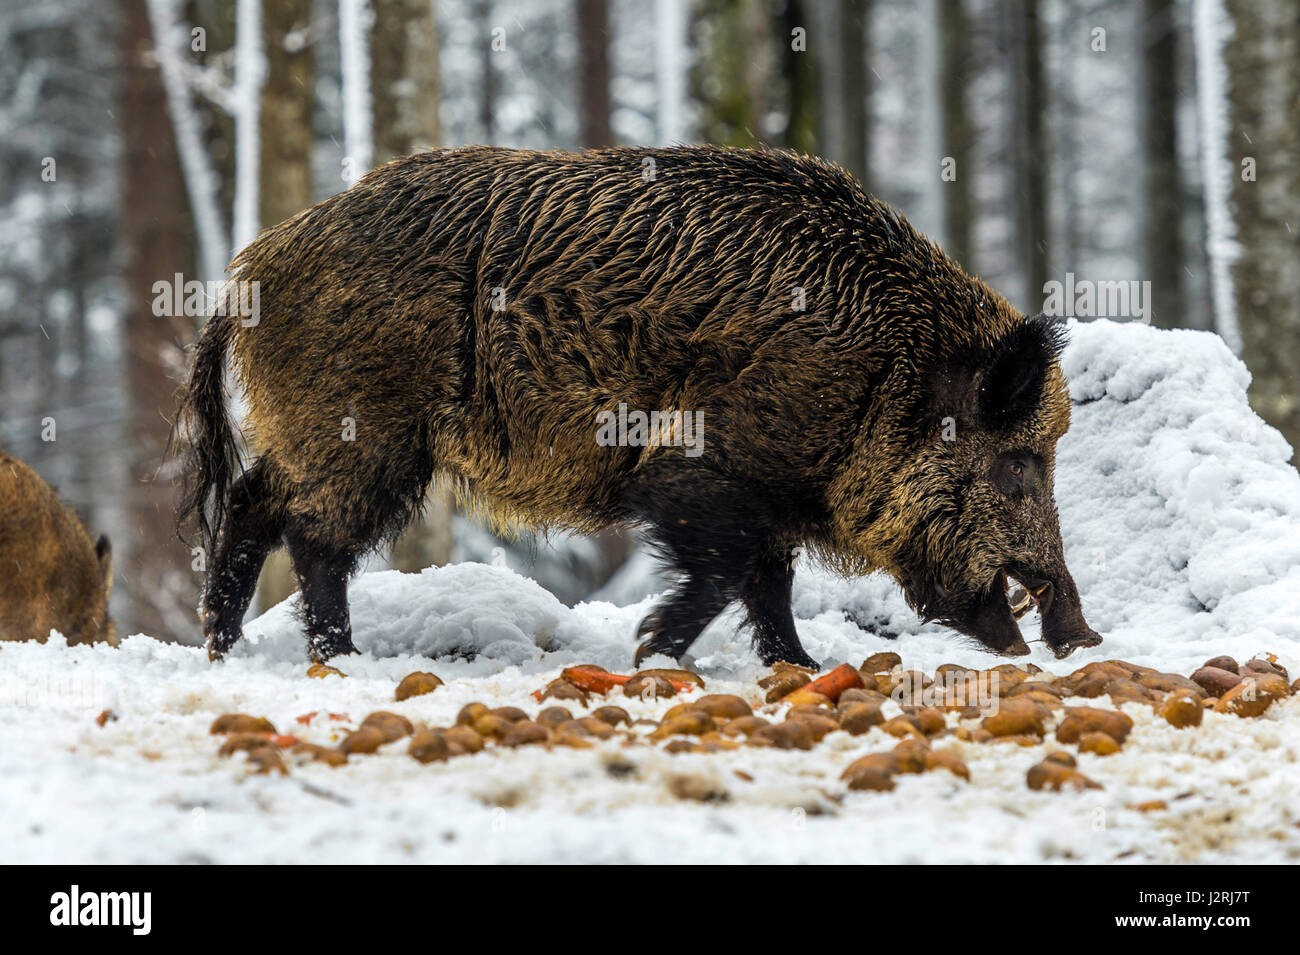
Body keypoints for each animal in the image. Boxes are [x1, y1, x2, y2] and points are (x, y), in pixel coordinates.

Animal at [175, 145, 1102, 666]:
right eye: (1020, 461)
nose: (1081, 630)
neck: (885, 370)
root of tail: (252, 266)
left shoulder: (769, 487)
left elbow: (769, 582)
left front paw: (796, 669)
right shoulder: (708, 464)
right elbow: (733, 568)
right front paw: (655, 651)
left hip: (320, 426)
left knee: (256, 502)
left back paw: (224, 648)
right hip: (365, 425)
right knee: (312, 531)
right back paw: (338, 657)